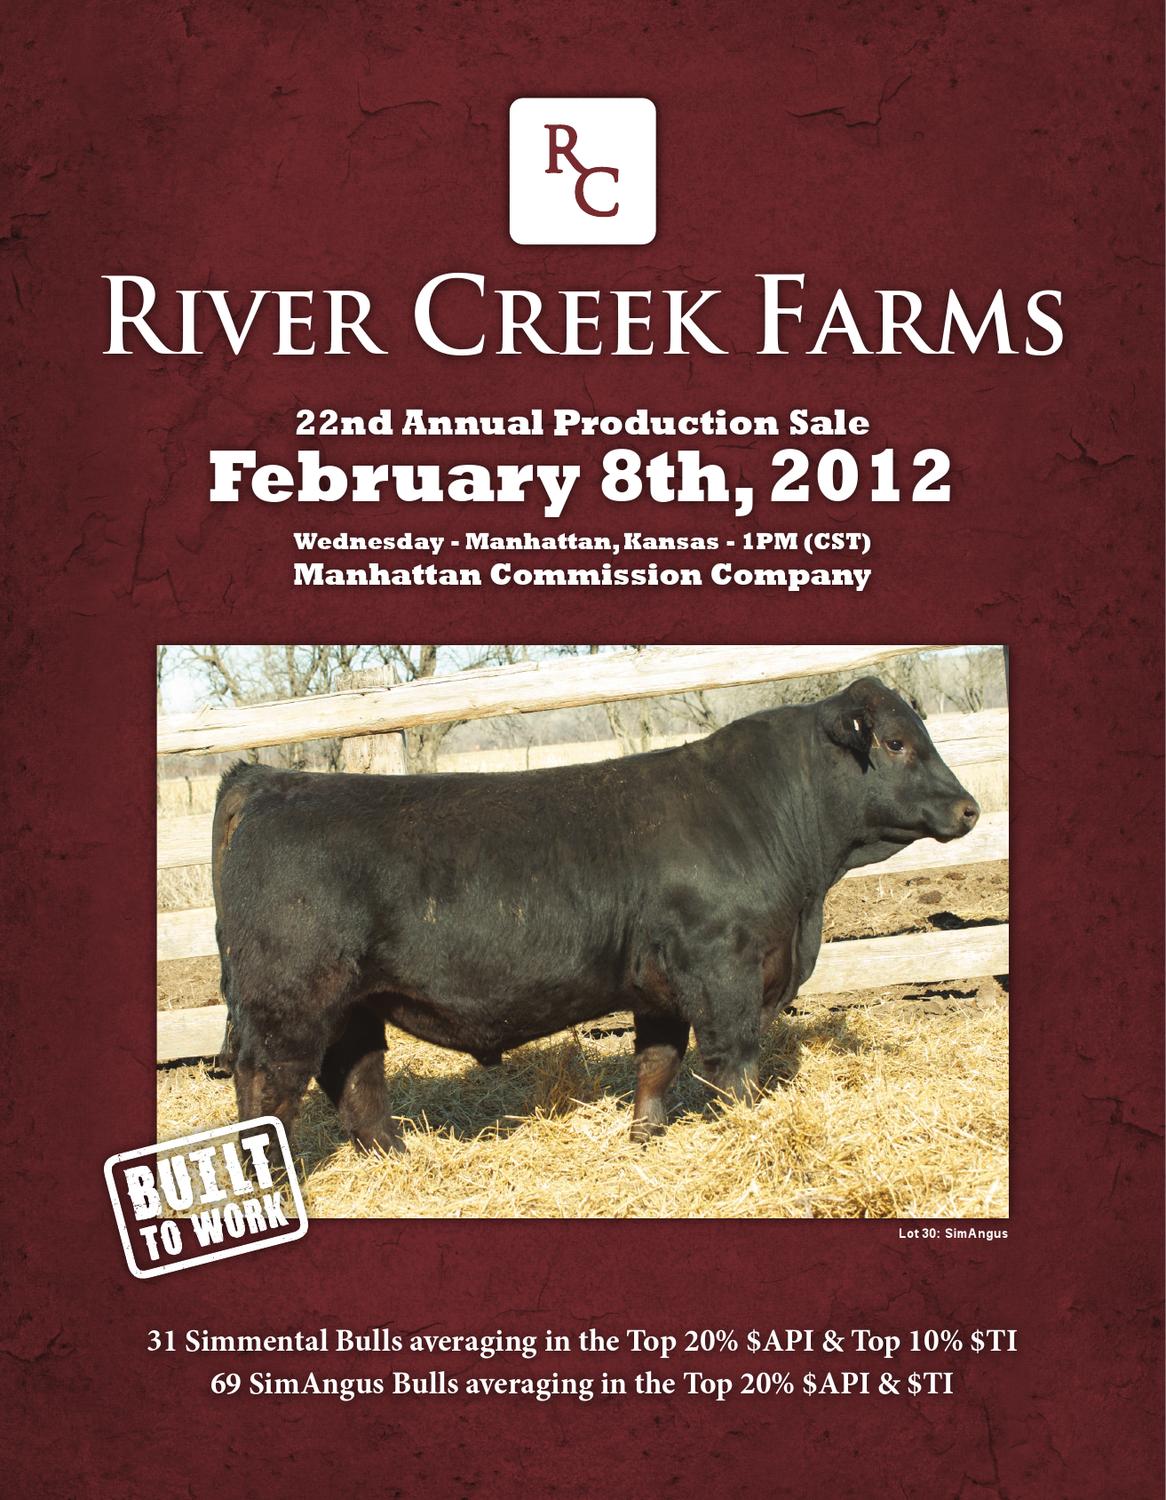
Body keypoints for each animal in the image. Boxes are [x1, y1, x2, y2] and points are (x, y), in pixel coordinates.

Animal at [212, 676, 980, 1155]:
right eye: (896, 743)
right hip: (287, 1001)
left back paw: (400, 1158)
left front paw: (643, 1140)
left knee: (356, 1078)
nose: (969, 808)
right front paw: (751, 1130)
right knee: (267, 1086)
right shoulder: (721, 967)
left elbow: (656, 1066)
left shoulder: (660, 987)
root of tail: (268, 780)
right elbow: (734, 1067)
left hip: (352, 1001)